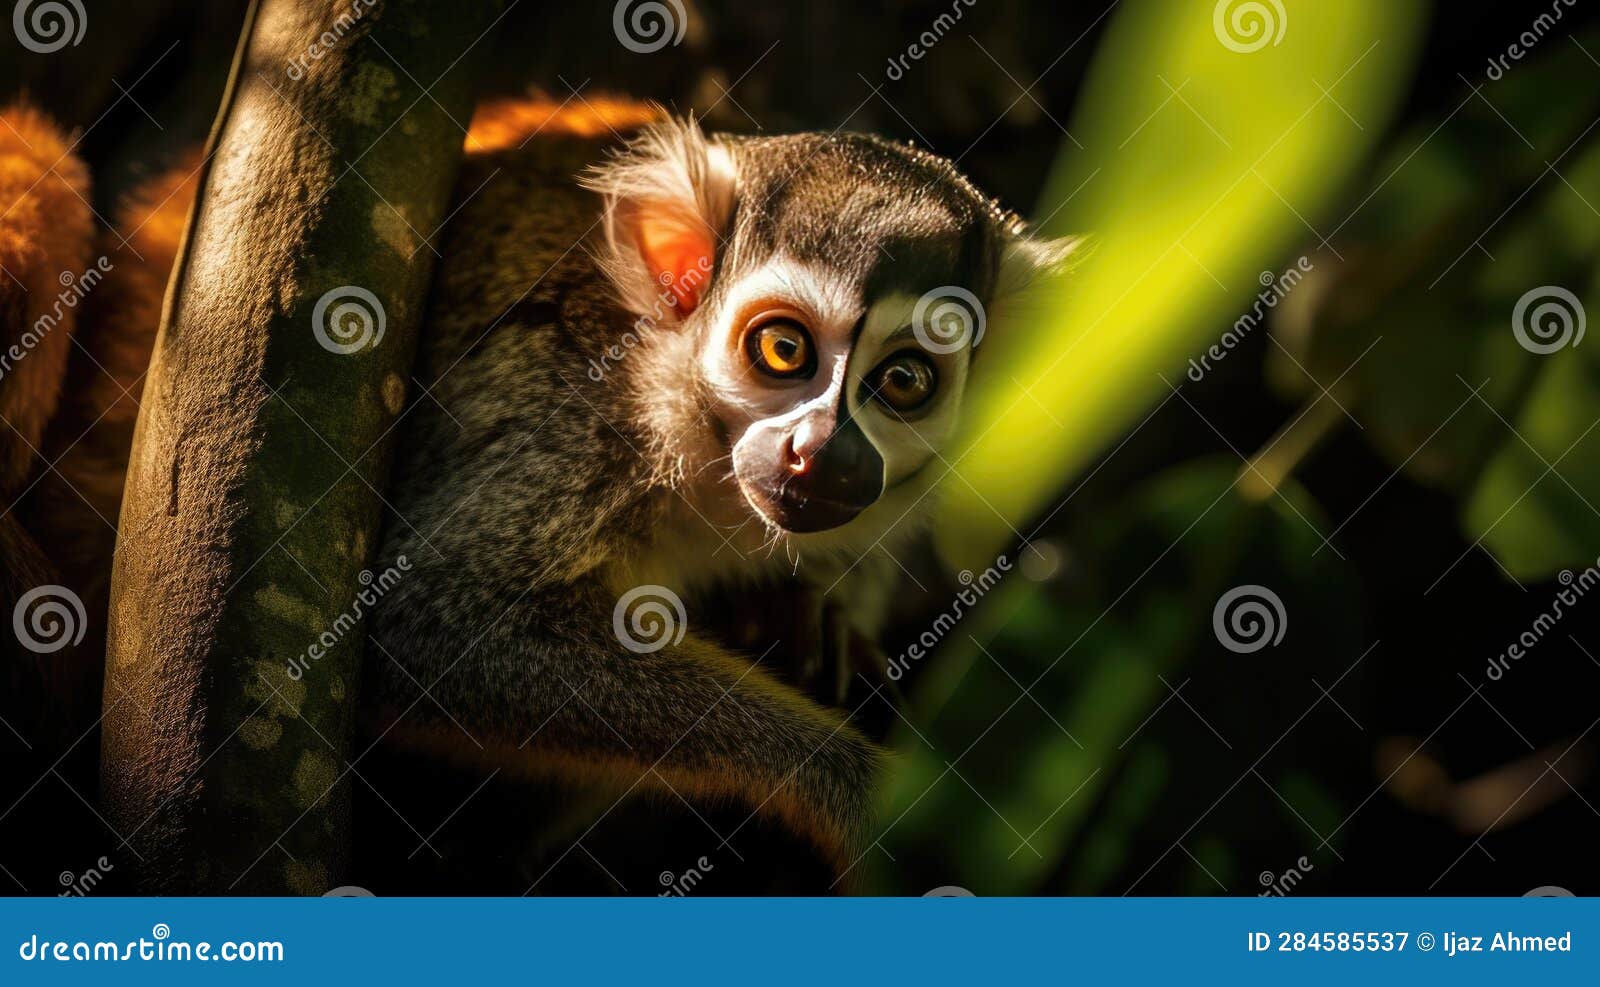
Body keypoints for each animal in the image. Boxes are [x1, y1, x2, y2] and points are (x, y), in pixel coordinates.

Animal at [0, 95, 1075, 874]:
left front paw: (819, 613)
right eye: (783, 349)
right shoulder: (573, 415)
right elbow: (428, 627)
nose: (827, 454)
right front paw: (840, 779)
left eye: (904, 382)